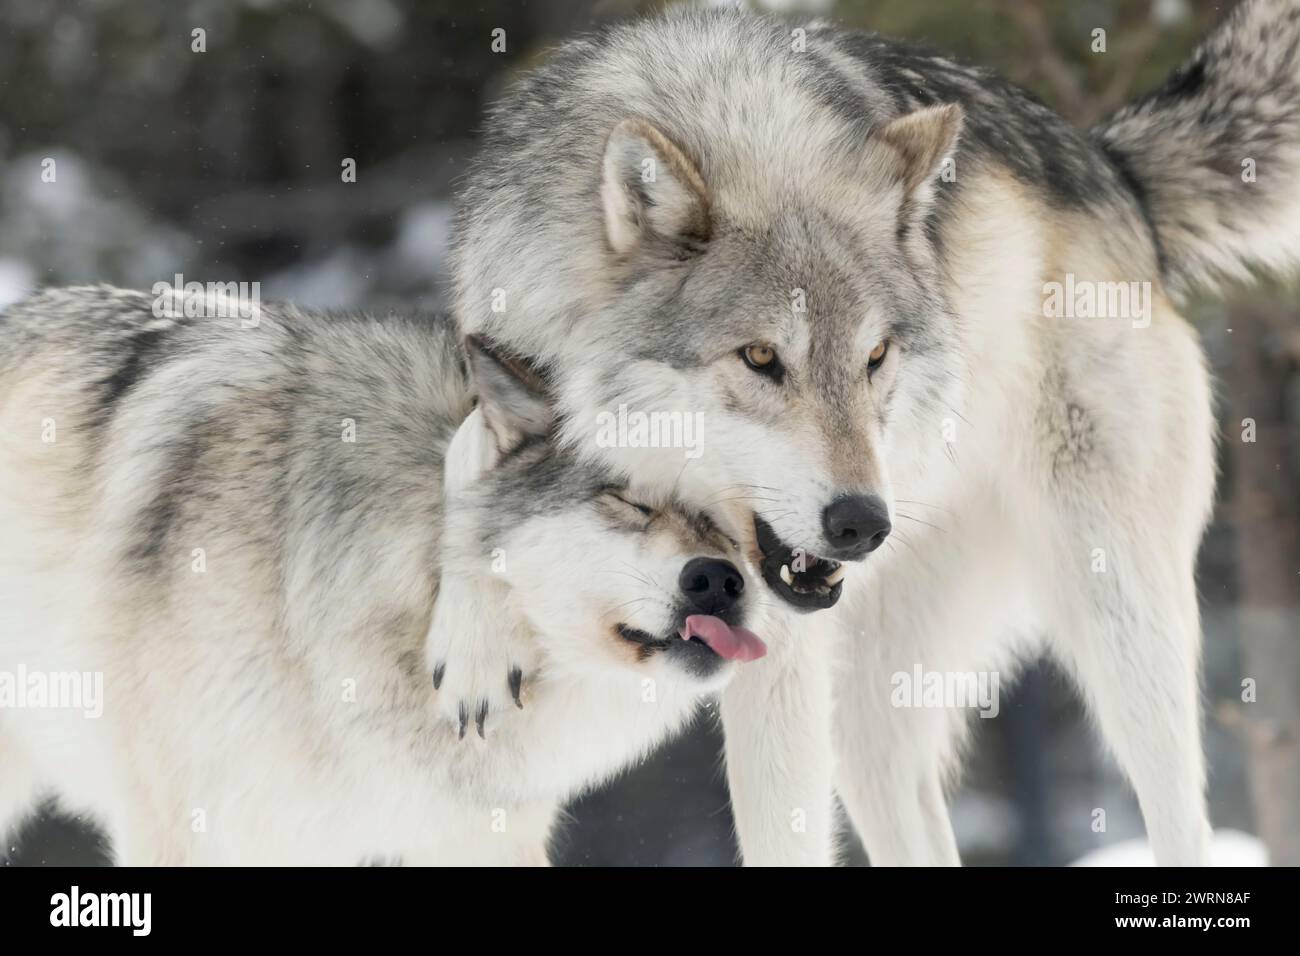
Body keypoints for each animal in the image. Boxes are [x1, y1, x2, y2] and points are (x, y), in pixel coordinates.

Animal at [438, 0, 1300, 865]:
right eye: (760, 357)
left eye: (875, 357)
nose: (862, 524)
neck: (731, 121)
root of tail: (1115, 171)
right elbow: (467, 446)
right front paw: (471, 642)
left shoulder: (777, 651)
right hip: (872, 712)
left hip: (1120, 620)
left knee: (1182, 815)